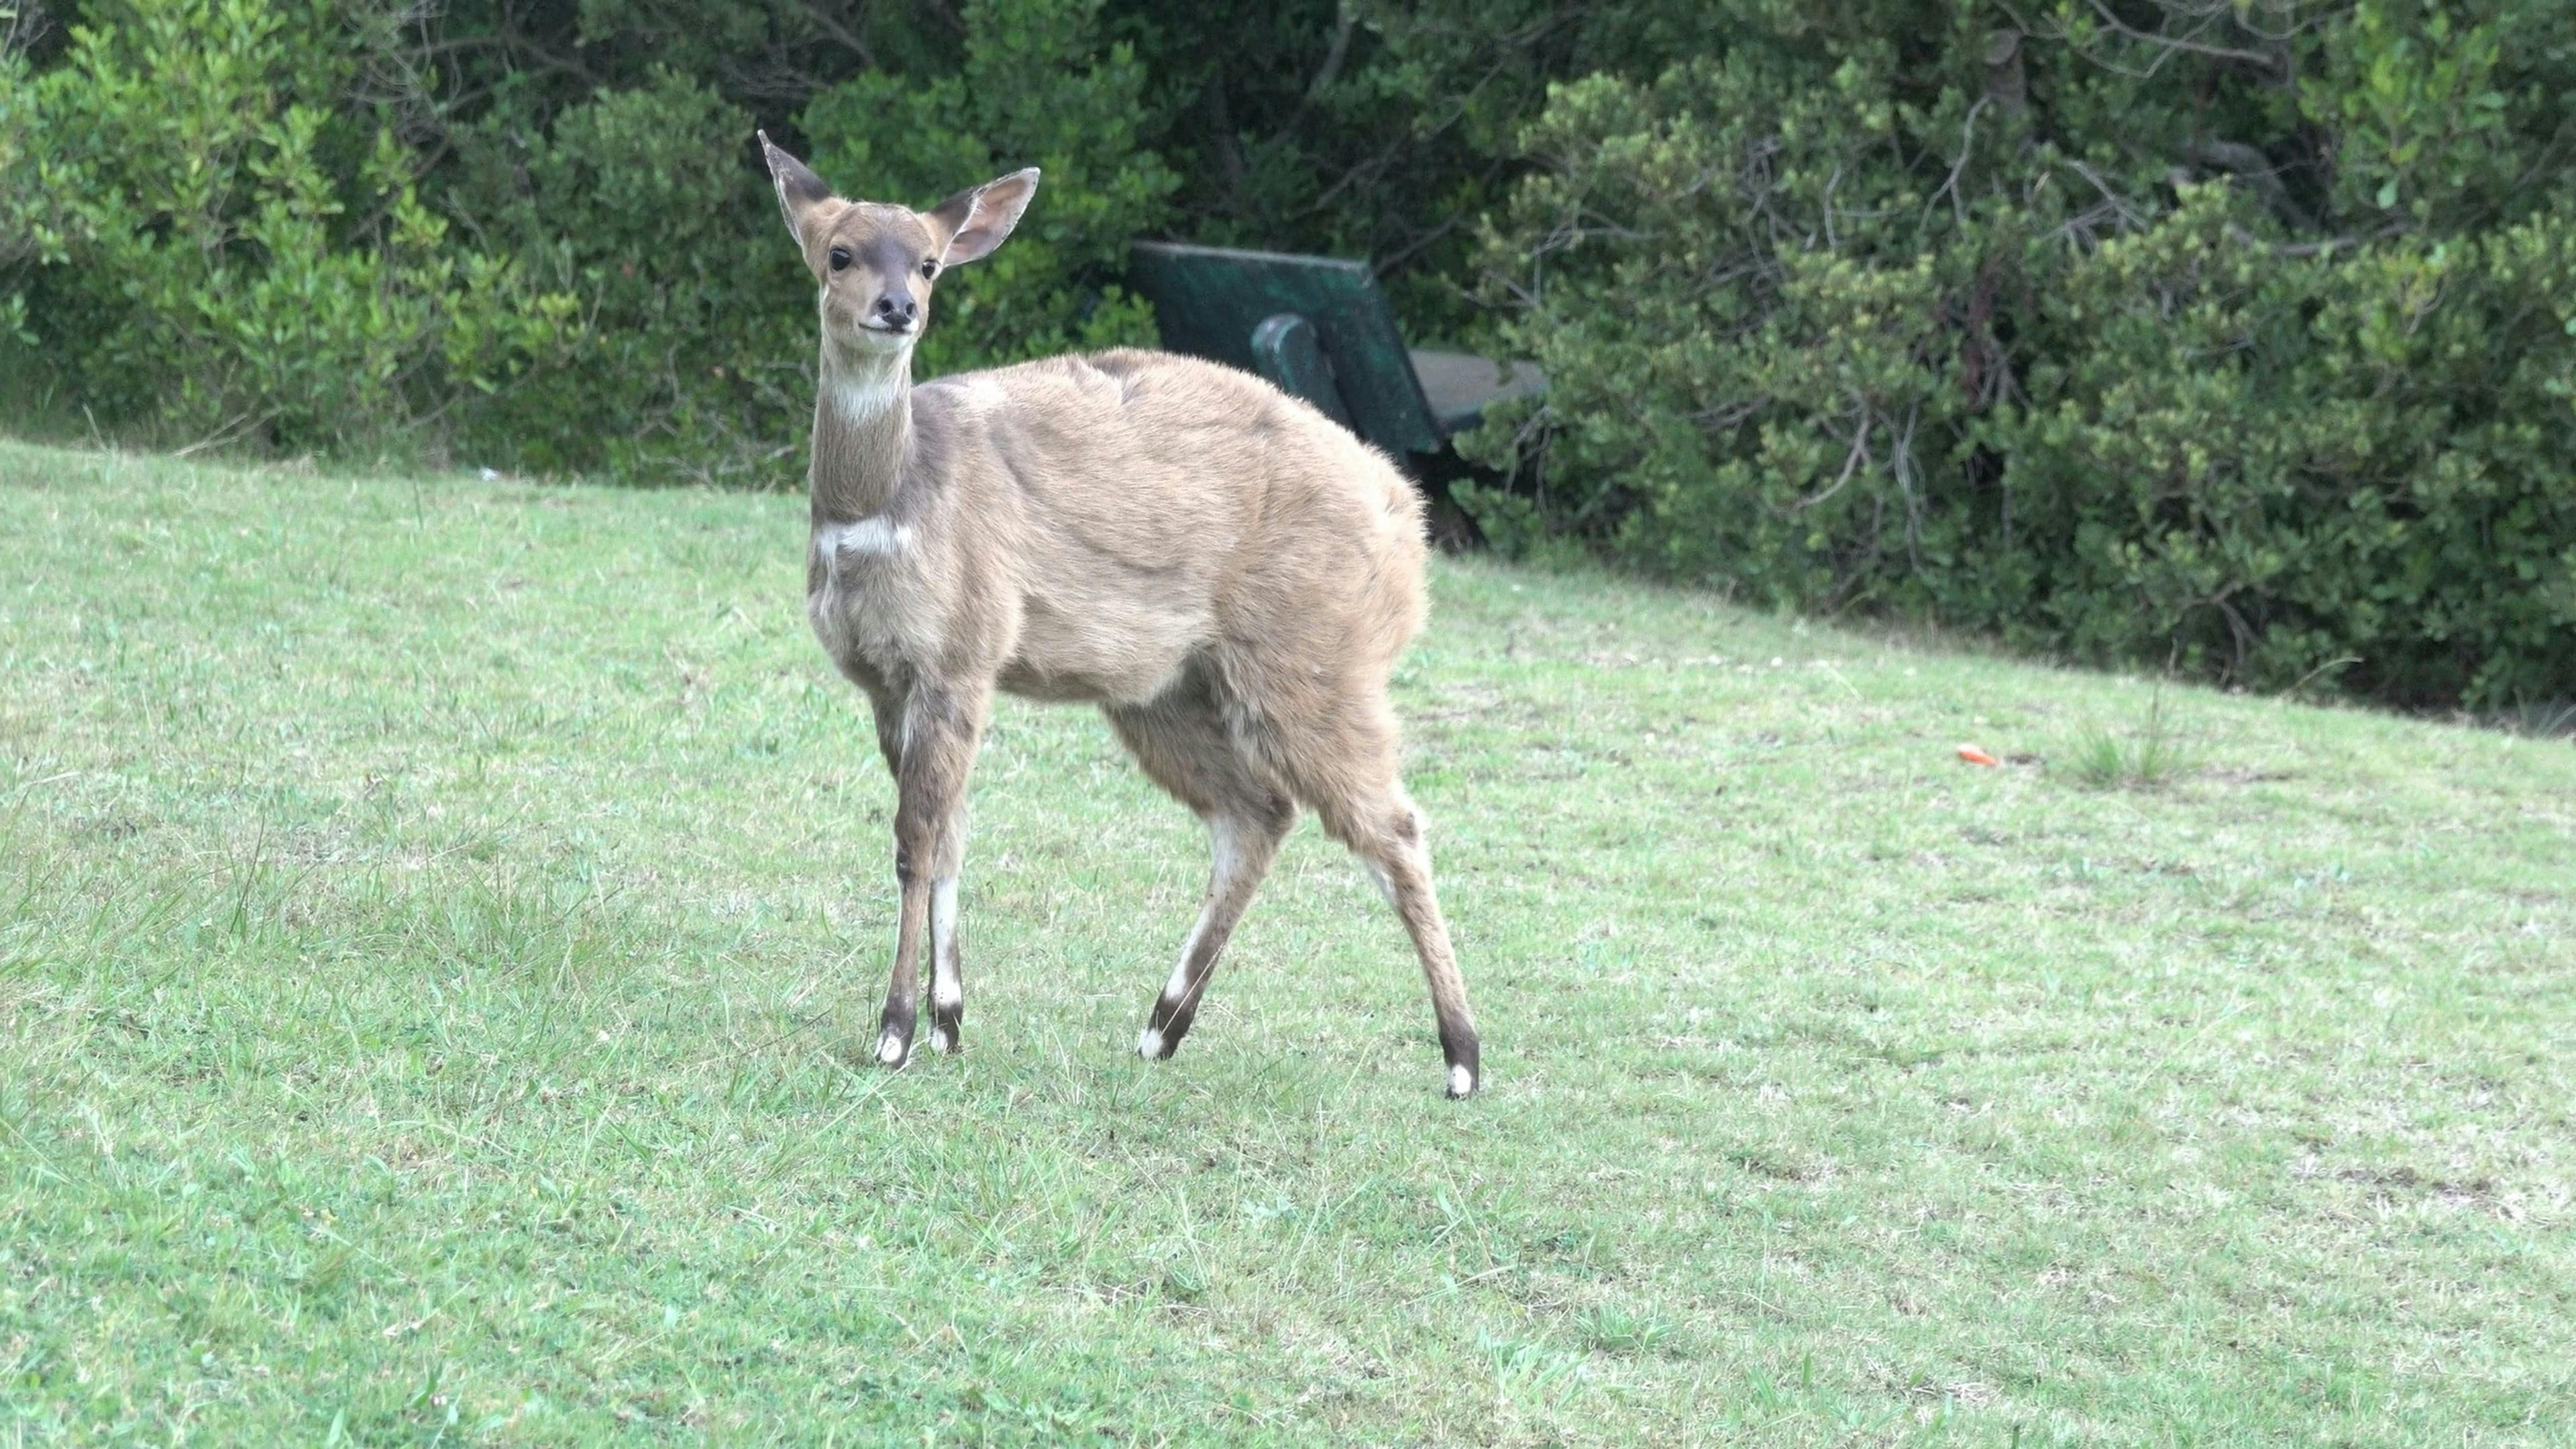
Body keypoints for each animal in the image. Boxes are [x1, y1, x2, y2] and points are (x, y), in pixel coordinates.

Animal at [756, 133, 1480, 1098]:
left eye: (930, 261)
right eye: (839, 252)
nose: (897, 307)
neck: (881, 503)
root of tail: (1405, 524)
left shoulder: (959, 657)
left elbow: (917, 839)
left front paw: (896, 1032)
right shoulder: (887, 681)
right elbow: (951, 836)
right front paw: (950, 1022)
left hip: (1314, 664)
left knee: (1390, 826)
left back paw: (1462, 1061)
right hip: (1165, 690)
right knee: (1257, 813)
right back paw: (1158, 1029)